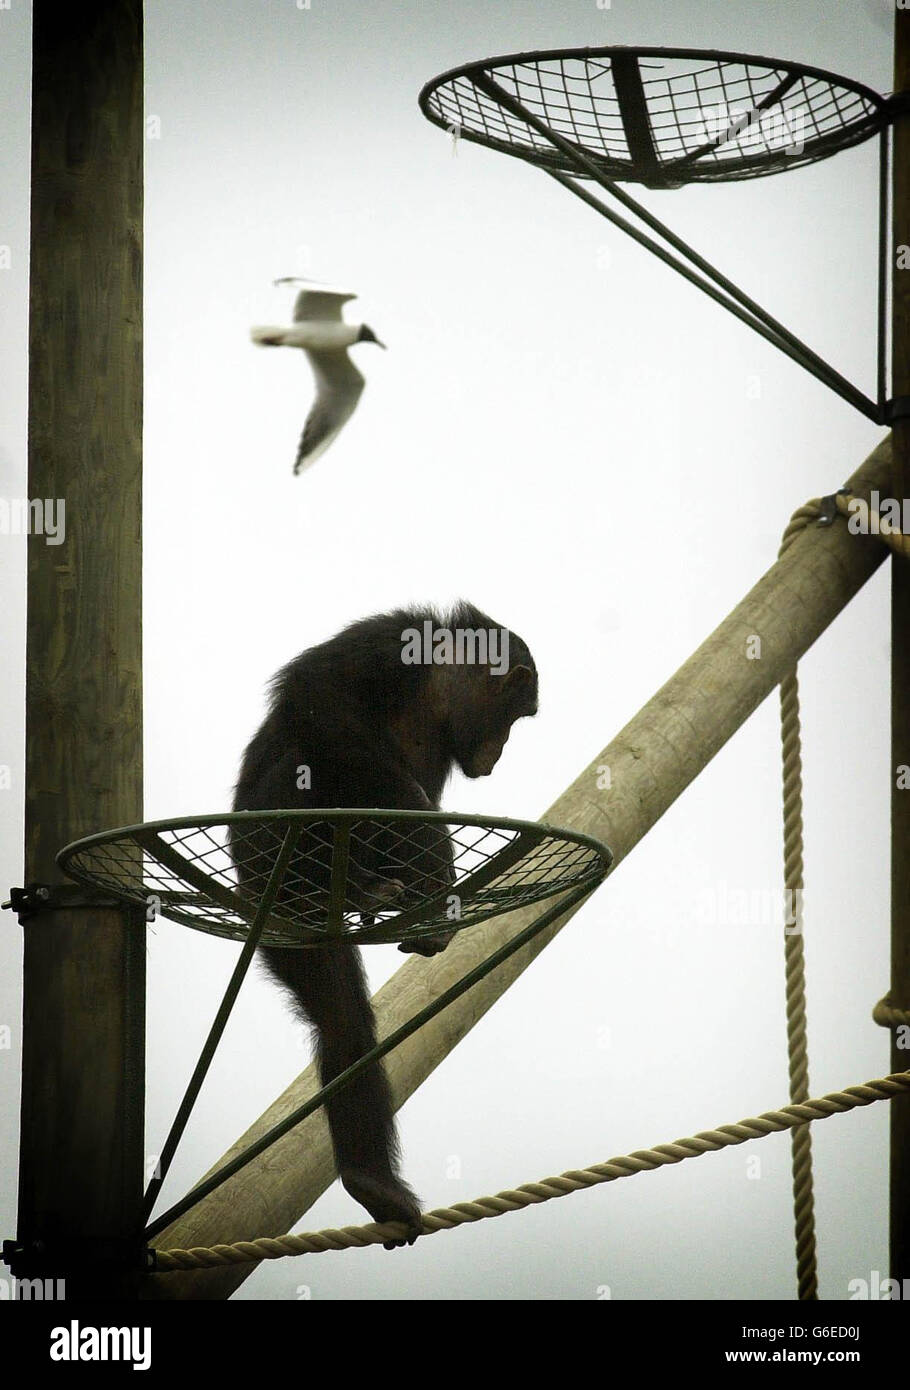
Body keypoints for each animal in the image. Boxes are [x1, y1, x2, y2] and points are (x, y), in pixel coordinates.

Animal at [229, 601, 538, 1244]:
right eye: (516, 714)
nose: (501, 749)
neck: (435, 690)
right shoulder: (384, 642)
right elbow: (322, 700)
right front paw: (438, 858)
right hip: (267, 874)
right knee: (317, 757)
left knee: (341, 1021)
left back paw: (372, 1183)